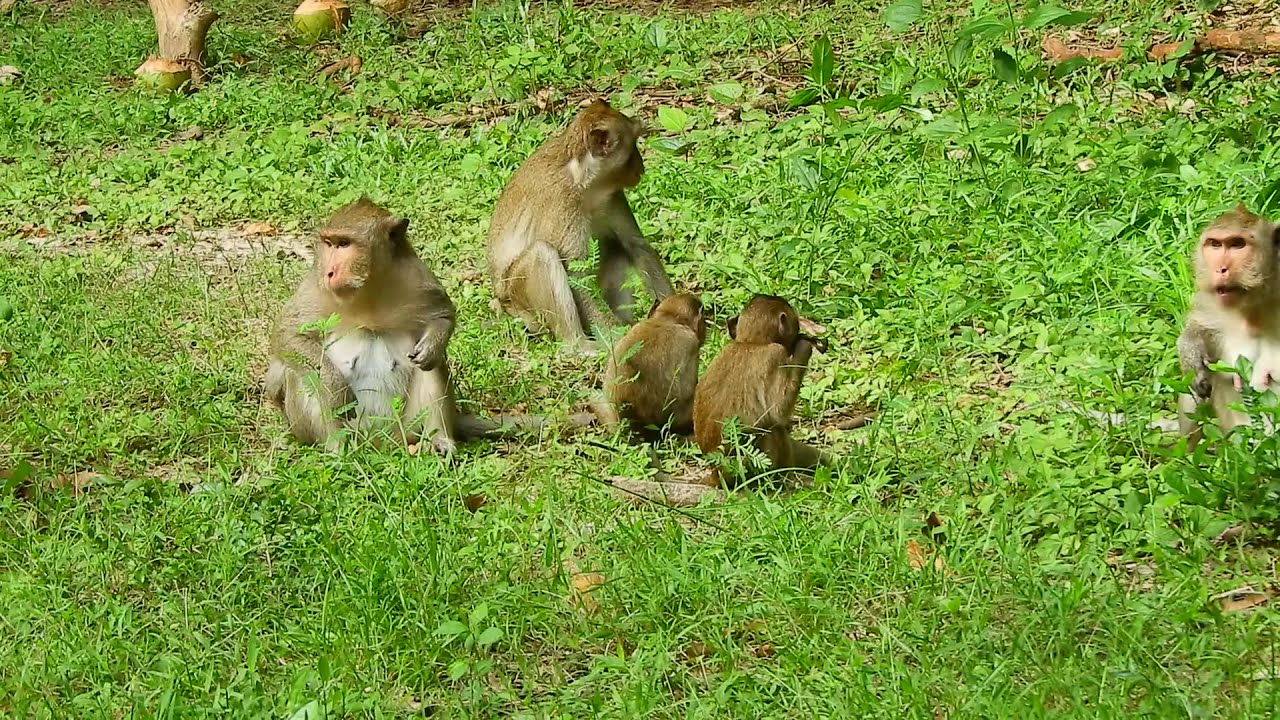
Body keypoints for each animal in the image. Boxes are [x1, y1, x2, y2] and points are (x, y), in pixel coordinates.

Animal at [264, 197, 546, 455]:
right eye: (329, 243)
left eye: (344, 244)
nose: (331, 272)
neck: (368, 290)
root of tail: (379, 442)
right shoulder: (316, 287)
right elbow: (287, 335)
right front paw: (335, 387)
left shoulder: (415, 277)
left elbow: (443, 315)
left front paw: (432, 344)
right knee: (299, 373)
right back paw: (338, 450)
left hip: (406, 425)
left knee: (433, 367)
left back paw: (439, 441)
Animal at [486, 99, 673, 353]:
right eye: (632, 146)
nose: (641, 167)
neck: (583, 181)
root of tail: (503, 305)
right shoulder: (563, 202)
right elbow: (576, 273)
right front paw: (615, 336)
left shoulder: (612, 196)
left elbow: (635, 245)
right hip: (520, 303)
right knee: (543, 253)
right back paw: (579, 345)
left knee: (615, 245)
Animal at [692, 294, 833, 486]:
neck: (751, 342)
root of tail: (717, 473)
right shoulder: (776, 354)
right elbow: (778, 412)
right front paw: (805, 347)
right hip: (749, 467)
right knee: (774, 429)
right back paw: (788, 478)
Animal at [1176, 204, 1280, 447]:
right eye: (1215, 244)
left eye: (1237, 244)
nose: (1220, 269)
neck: (1253, 307)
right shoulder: (1209, 304)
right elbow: (1195, 330)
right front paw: (1191, 352)